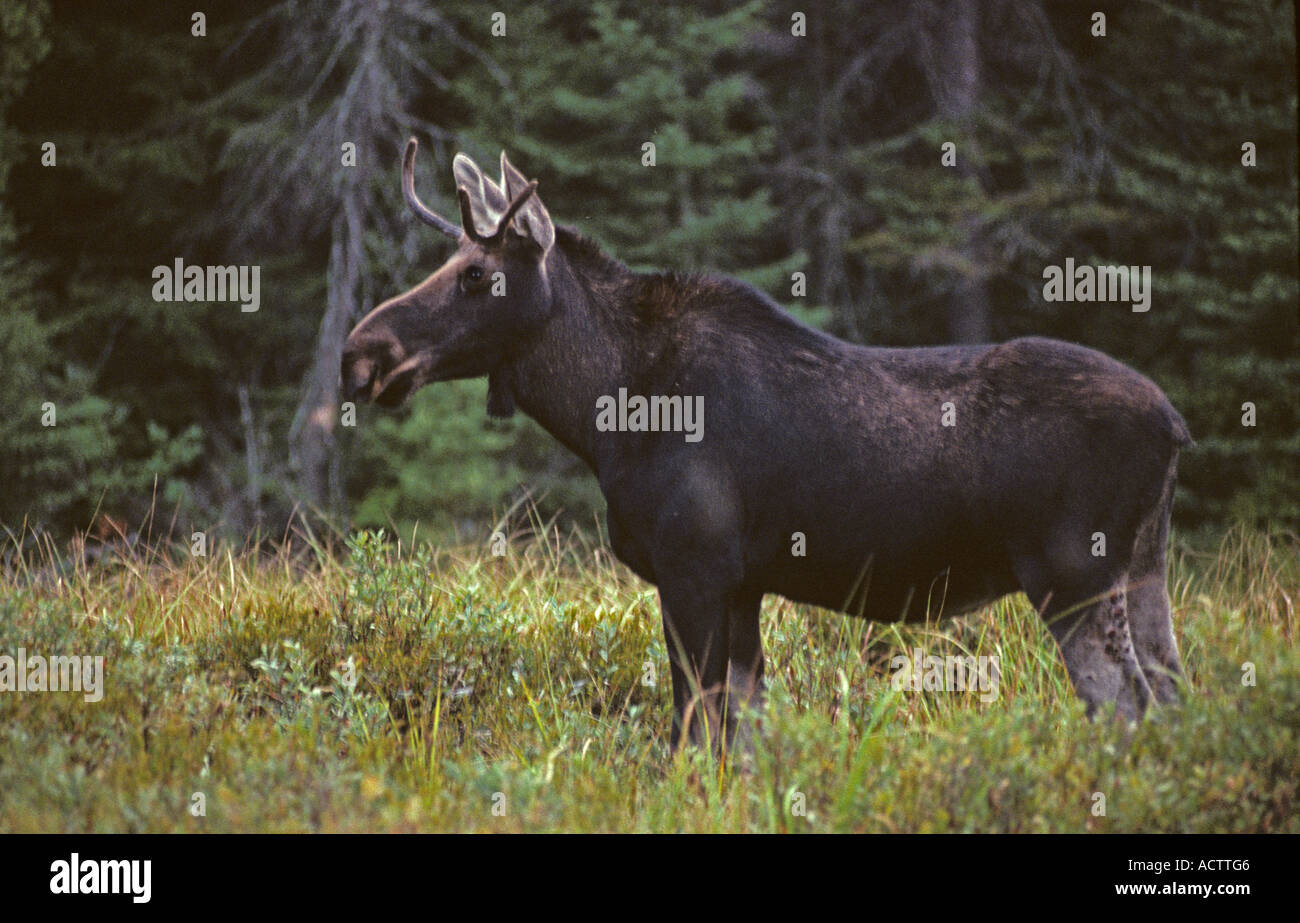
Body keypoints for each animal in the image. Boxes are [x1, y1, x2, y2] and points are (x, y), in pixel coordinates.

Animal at [341, 138, 1191, 753]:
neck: (602, 416)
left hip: (1072, 571)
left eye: (475, 274)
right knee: (1176, 696)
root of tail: (1174, 423)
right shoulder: (743, 585)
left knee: (1128, 708)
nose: (362, 351)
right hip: (1143, 568)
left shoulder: (694, 567)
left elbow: (690, 735)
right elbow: (739, 741)